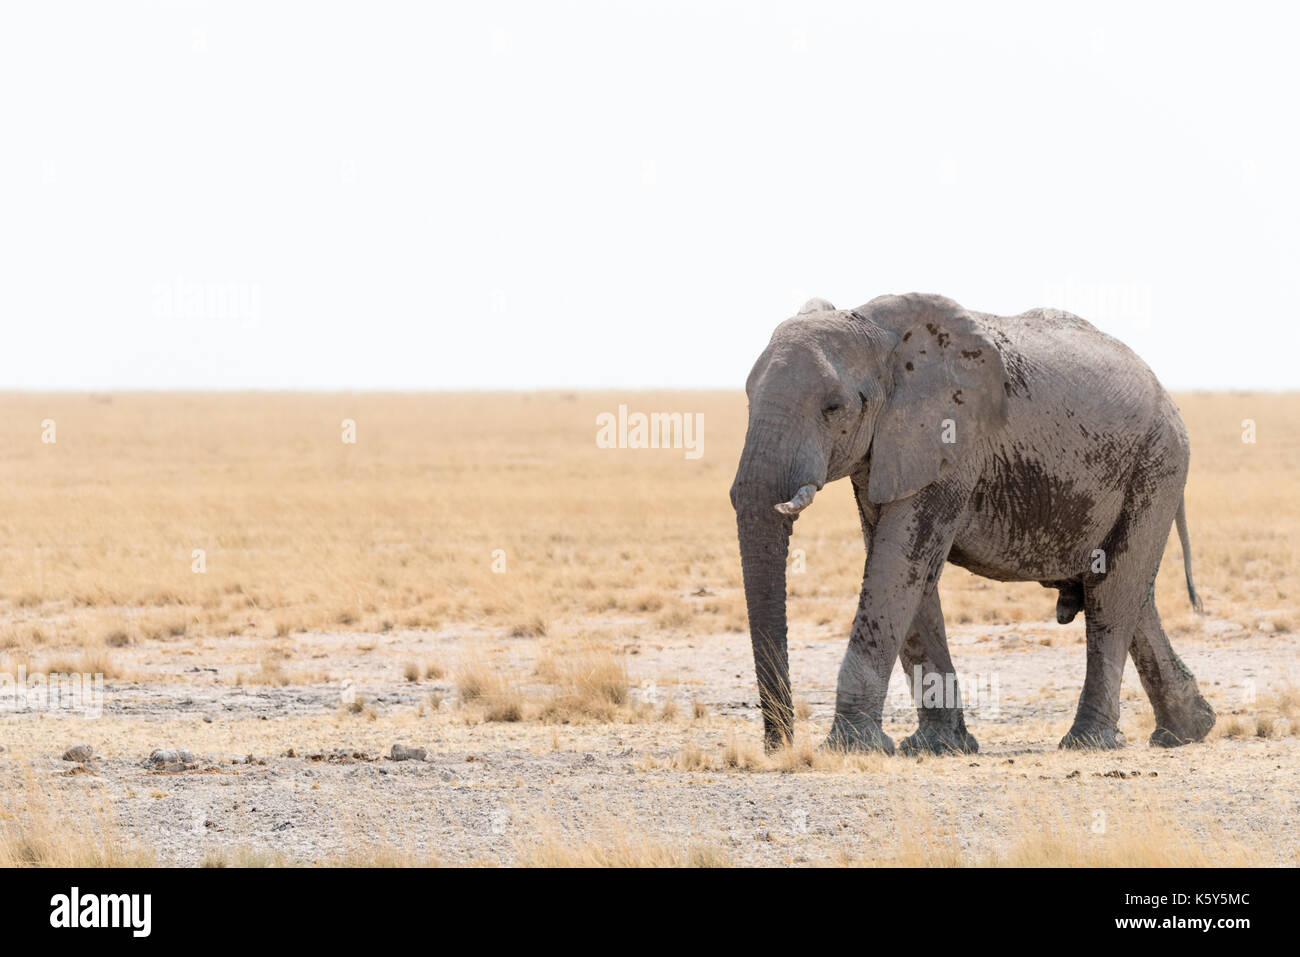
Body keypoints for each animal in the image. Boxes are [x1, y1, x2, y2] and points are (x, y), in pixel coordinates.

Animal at [729, 292, 1216, 755]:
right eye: (747, 398)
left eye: (833, 407)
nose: (780, 747)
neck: (877, 332)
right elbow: (908, 572)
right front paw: (938, 747)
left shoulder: (954, 443)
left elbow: (896, 565)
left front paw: (852, 748)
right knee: (1130, 593)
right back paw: (1187, 731)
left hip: (1158, 463)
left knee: (1111, 595)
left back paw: (1090, 741)